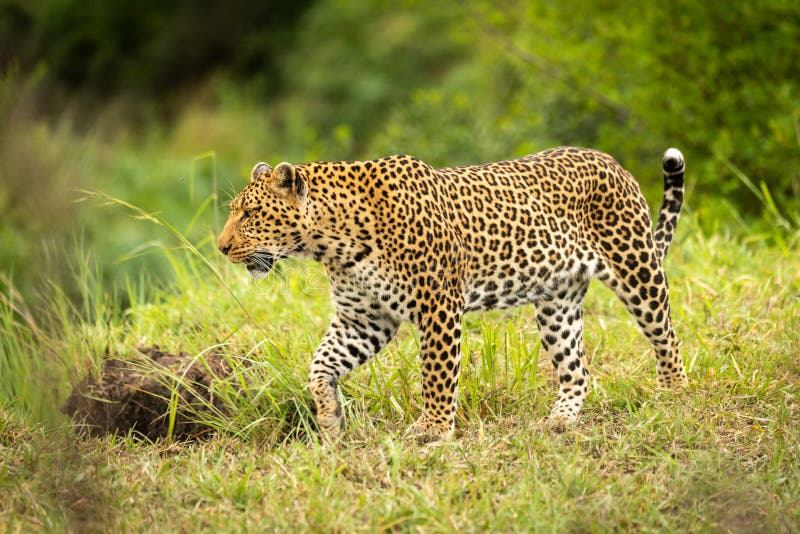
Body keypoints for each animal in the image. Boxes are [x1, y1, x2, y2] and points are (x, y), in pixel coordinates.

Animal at [217, 146, 688, 440]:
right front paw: (330, 418)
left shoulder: (437, 305)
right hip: (557, 302)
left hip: (636, 267)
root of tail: (611, 161)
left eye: (250, 214)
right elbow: (320, 363)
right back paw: (560, 421)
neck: (333, 243)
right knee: (577, 370)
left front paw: (434, 429)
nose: (220, 248)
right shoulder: (364, 319)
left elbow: (437, 374)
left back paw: (674, 393)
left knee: (665, 333)